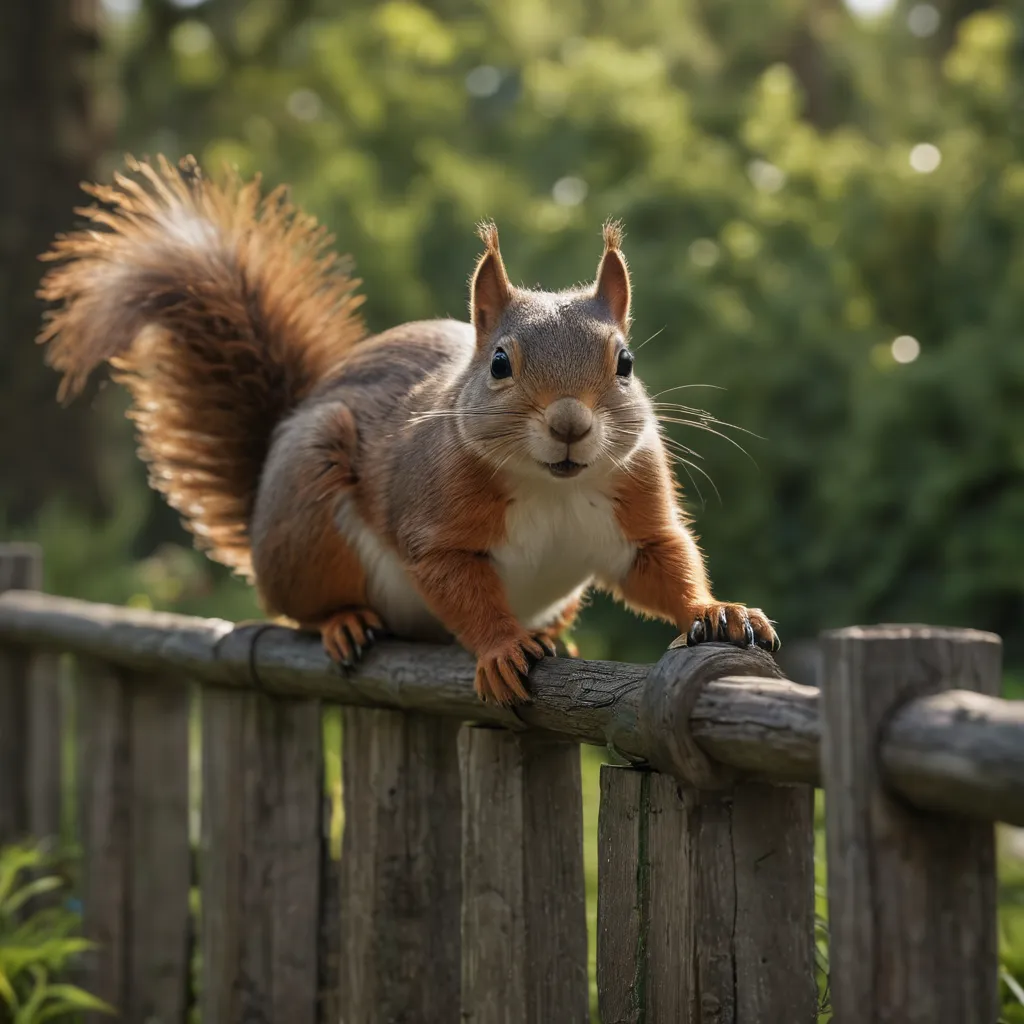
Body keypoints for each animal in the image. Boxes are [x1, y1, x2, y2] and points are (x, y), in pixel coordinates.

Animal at [36, 155, 779, 705]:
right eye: (500, 363)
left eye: (625, 364)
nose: (570, 423)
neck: (554, 486)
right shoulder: (435, 523)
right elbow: (458, 586)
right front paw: (503, 647)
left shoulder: (635, 506)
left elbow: (663, 563)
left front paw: (719, 611)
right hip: (309, 520)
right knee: (306, 607)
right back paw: (345, 624)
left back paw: (556, 638)